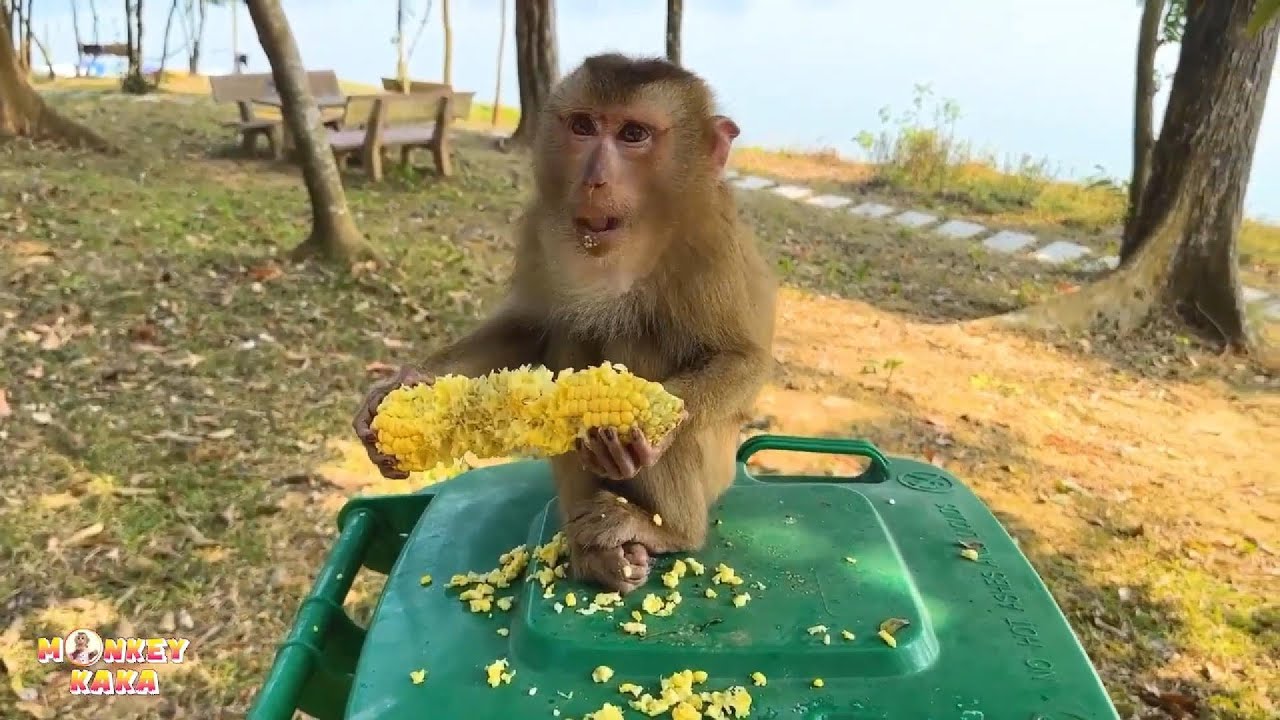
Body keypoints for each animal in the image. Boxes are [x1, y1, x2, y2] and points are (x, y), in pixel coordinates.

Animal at [353, 53, 777, 595]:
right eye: (583, 126)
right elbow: (529, 329)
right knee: (572, 335)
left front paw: (649, 428)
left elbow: (744, 359)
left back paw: (670, 531)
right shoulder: (539, 224)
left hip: (716, 475)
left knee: (642, 338)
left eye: (634, 134)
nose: (594, 179)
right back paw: (595, 554)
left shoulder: (712, 239)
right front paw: (406, 385)